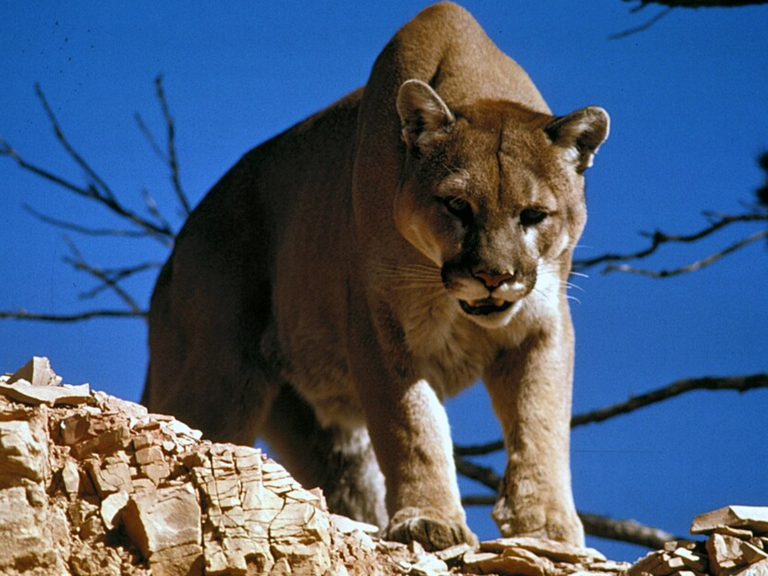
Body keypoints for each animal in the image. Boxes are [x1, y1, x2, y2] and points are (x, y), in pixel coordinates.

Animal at [143, 2, 609, 551]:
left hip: (320, 428)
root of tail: (176, 250)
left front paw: (547, 527)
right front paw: (430, 521)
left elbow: (541, 423)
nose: (494, 276)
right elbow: (412, 425)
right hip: (219, 376)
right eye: (457, 206)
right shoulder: (379, 323)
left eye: (534, 215)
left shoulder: (542, 323)